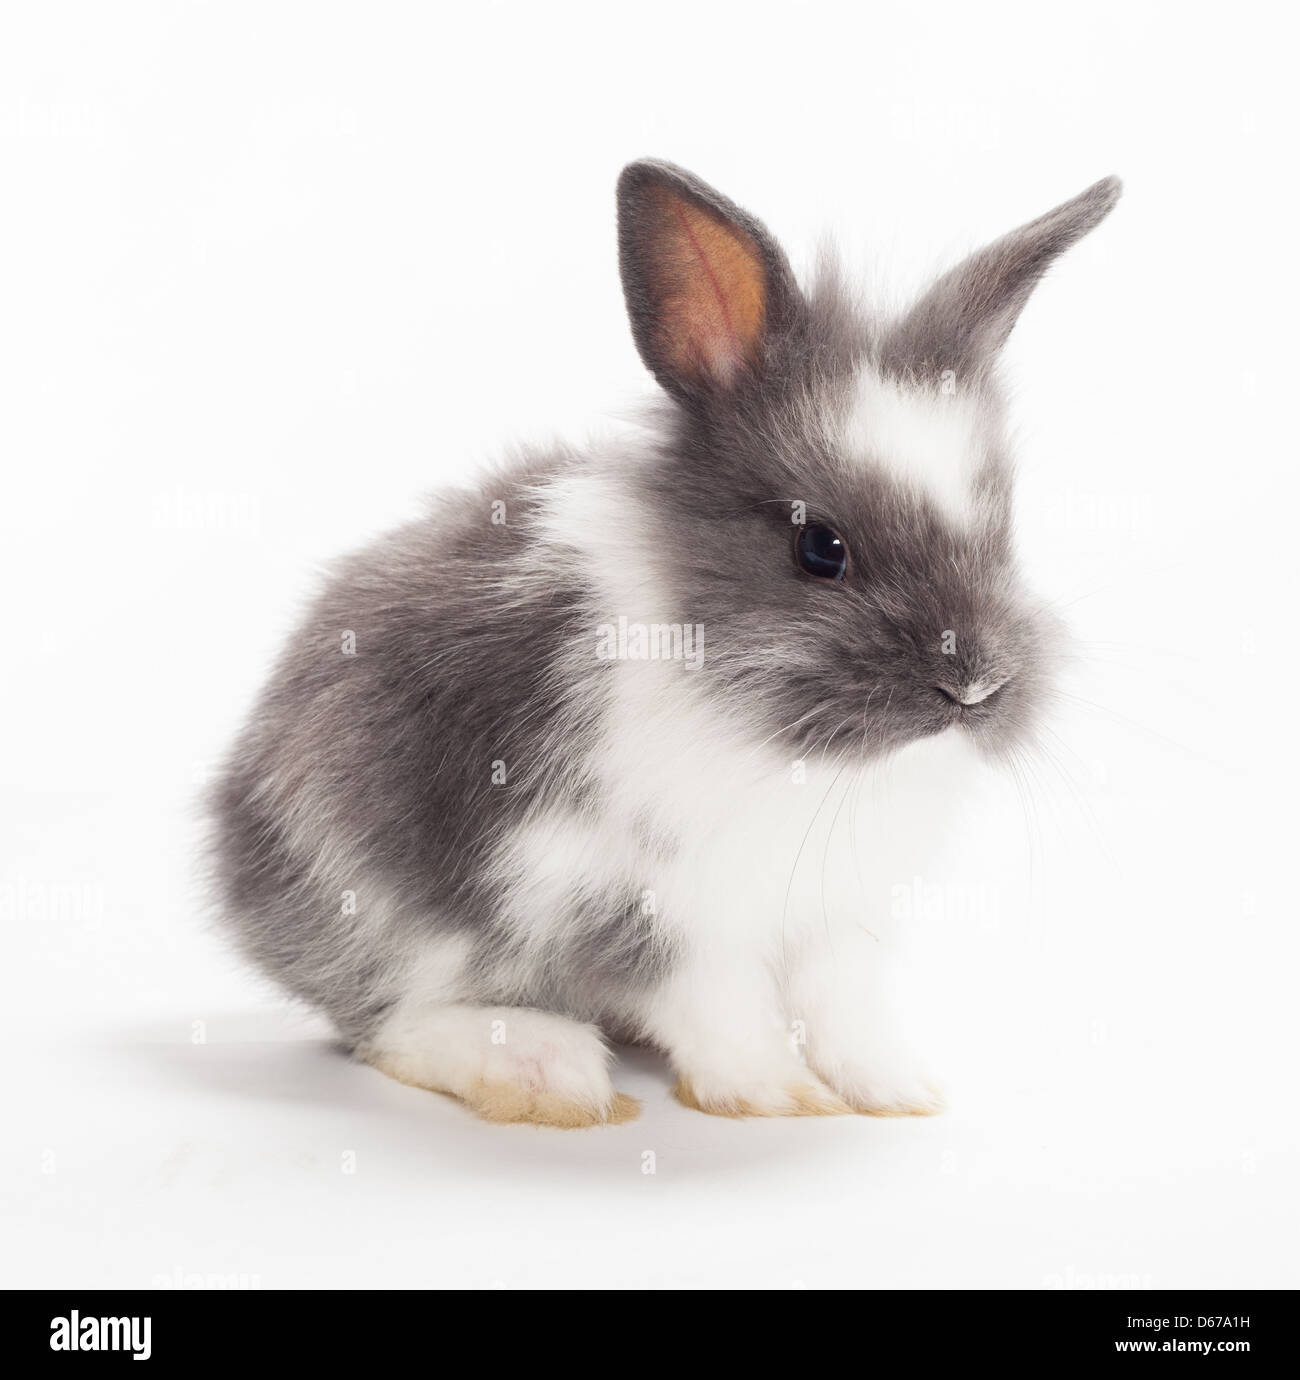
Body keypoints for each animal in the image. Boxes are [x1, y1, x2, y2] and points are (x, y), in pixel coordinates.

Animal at [209, 159, 1120, 1127]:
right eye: (819, 548)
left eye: (1003, 532)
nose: (976, 685)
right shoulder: (627, 897)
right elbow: (716, 1003)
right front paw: (776, 1094)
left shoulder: (837, 915)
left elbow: (845, 1006)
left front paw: (897, 1090)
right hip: (371, 906)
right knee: (383, 1025)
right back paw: (543, 1069)